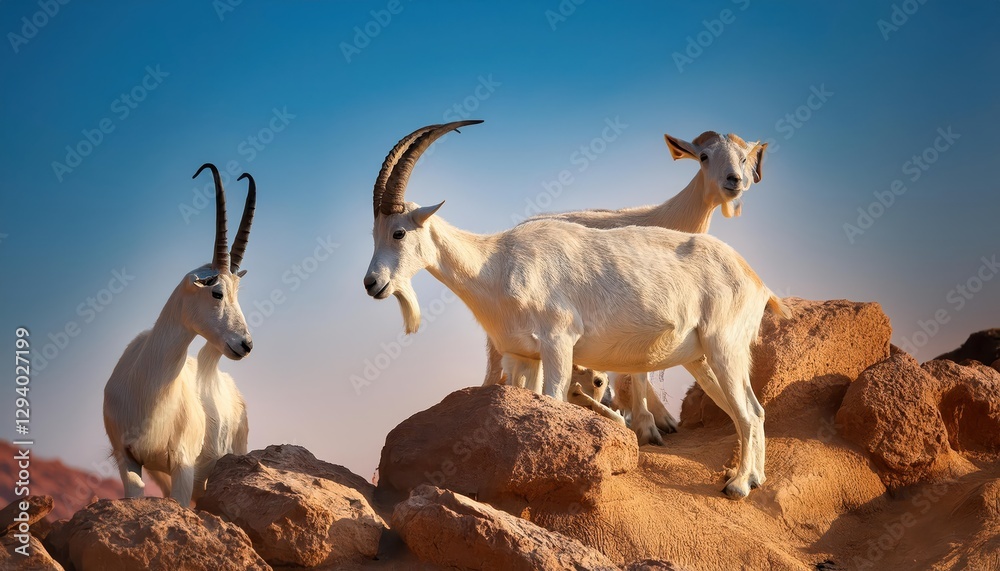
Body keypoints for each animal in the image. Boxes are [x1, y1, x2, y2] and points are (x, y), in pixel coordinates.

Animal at [103, 165, 255, 505]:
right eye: (217, 292)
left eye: (238, 293)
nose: (245, 344)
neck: (148, 386)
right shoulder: (127, 459)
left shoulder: (183, 468)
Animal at [484, 130, 768, 435]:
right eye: (703, 157)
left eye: (743, 158)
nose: (733, 180)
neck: (670, 219)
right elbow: (639, 372)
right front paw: (647, 425)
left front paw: (651, 421)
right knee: (496, 368)